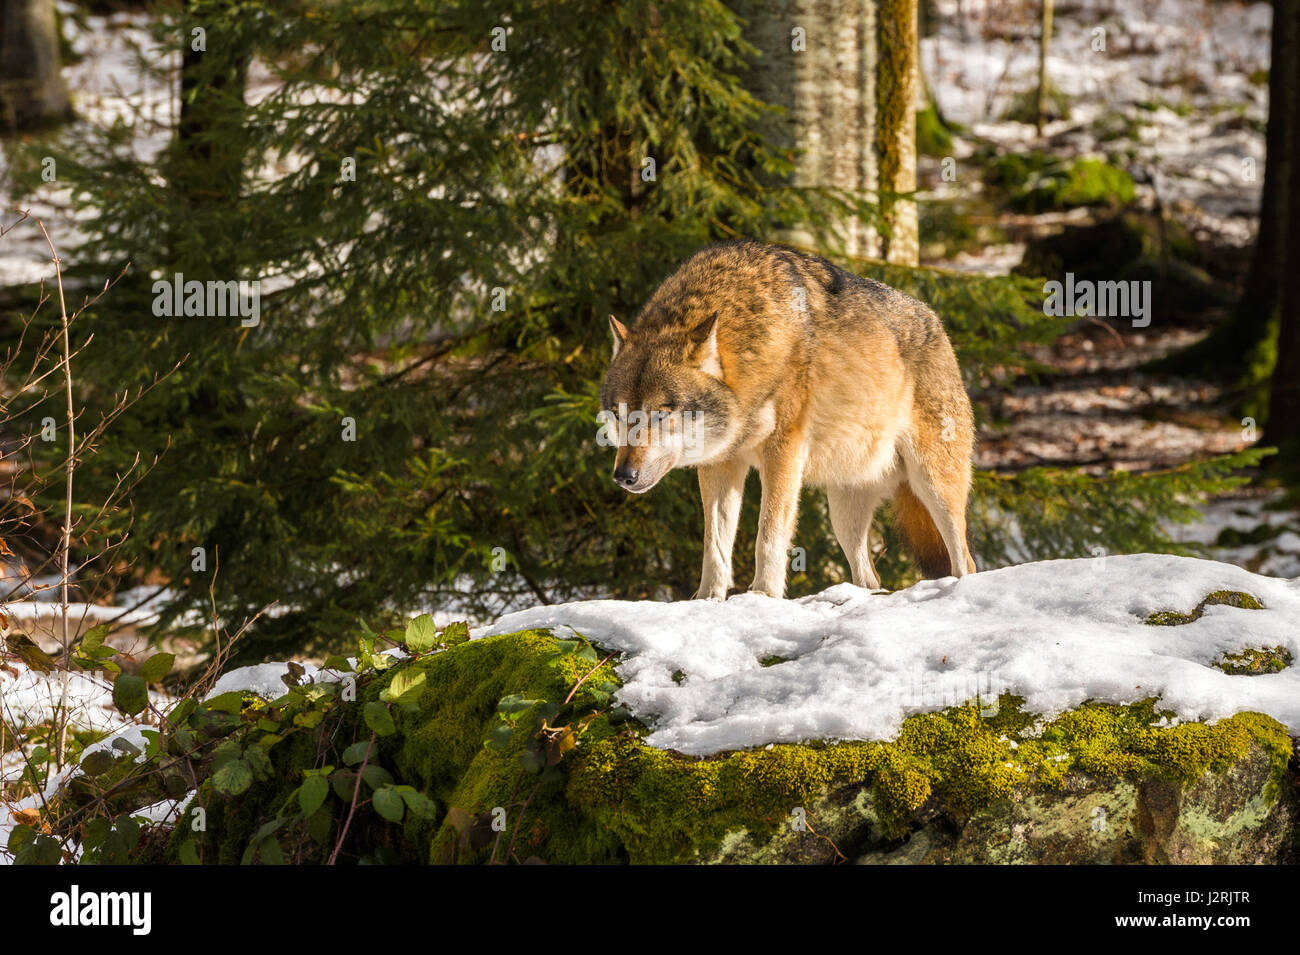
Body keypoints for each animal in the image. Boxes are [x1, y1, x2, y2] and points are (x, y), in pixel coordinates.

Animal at [598, 239, 977, 599]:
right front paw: (706, 599)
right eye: (618, 414)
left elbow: (768, 535)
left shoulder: (783, 451)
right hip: (843, 511)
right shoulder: (720, 463)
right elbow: (714, 545)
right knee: (869, 576)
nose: (623, 476)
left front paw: (763, 594)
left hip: (933, 484)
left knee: (966, 561)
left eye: (661, 414)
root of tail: (937, 323)